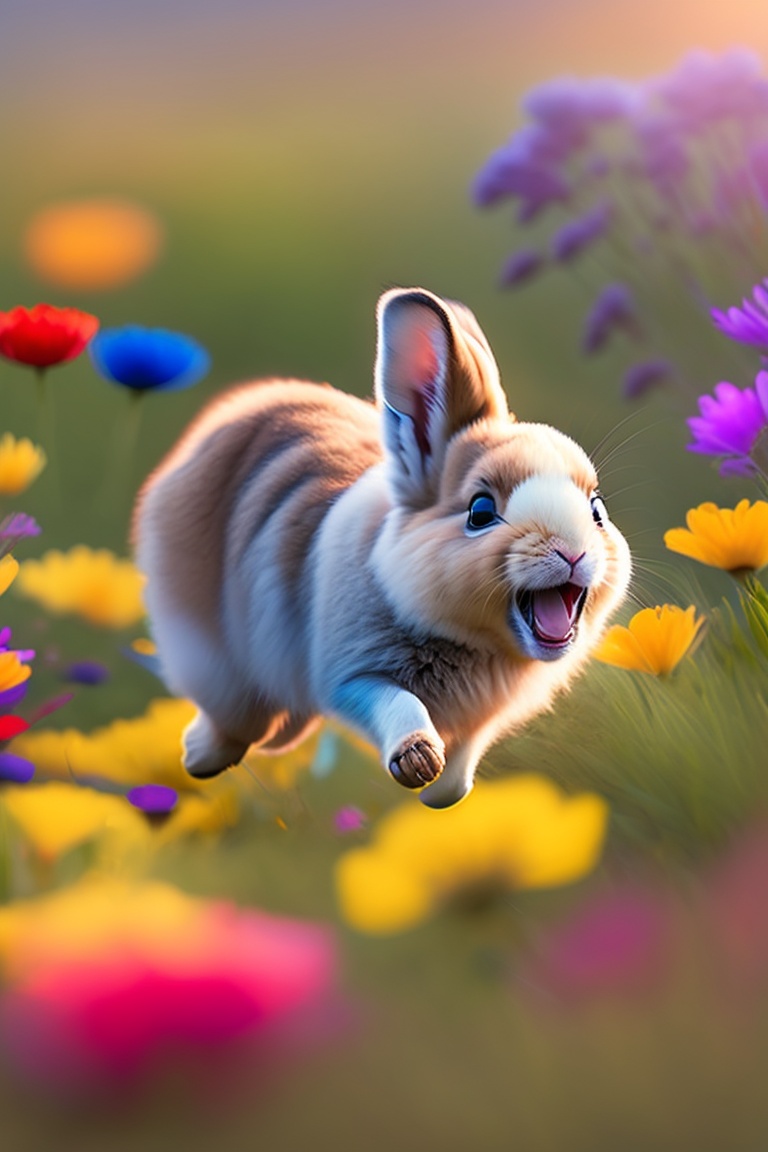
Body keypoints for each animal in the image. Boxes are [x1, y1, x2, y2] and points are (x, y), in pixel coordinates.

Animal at [133, 287, 631, 809]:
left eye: (596, 509)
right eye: (479, 512)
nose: (572, 552)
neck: (471, 640)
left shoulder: (484, 720)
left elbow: (465, 755)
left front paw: (442, 796)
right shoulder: (349, 677)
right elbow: (397, 702)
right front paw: (417, 760)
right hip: (209, 655)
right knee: (231, 716)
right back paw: (198, 758)